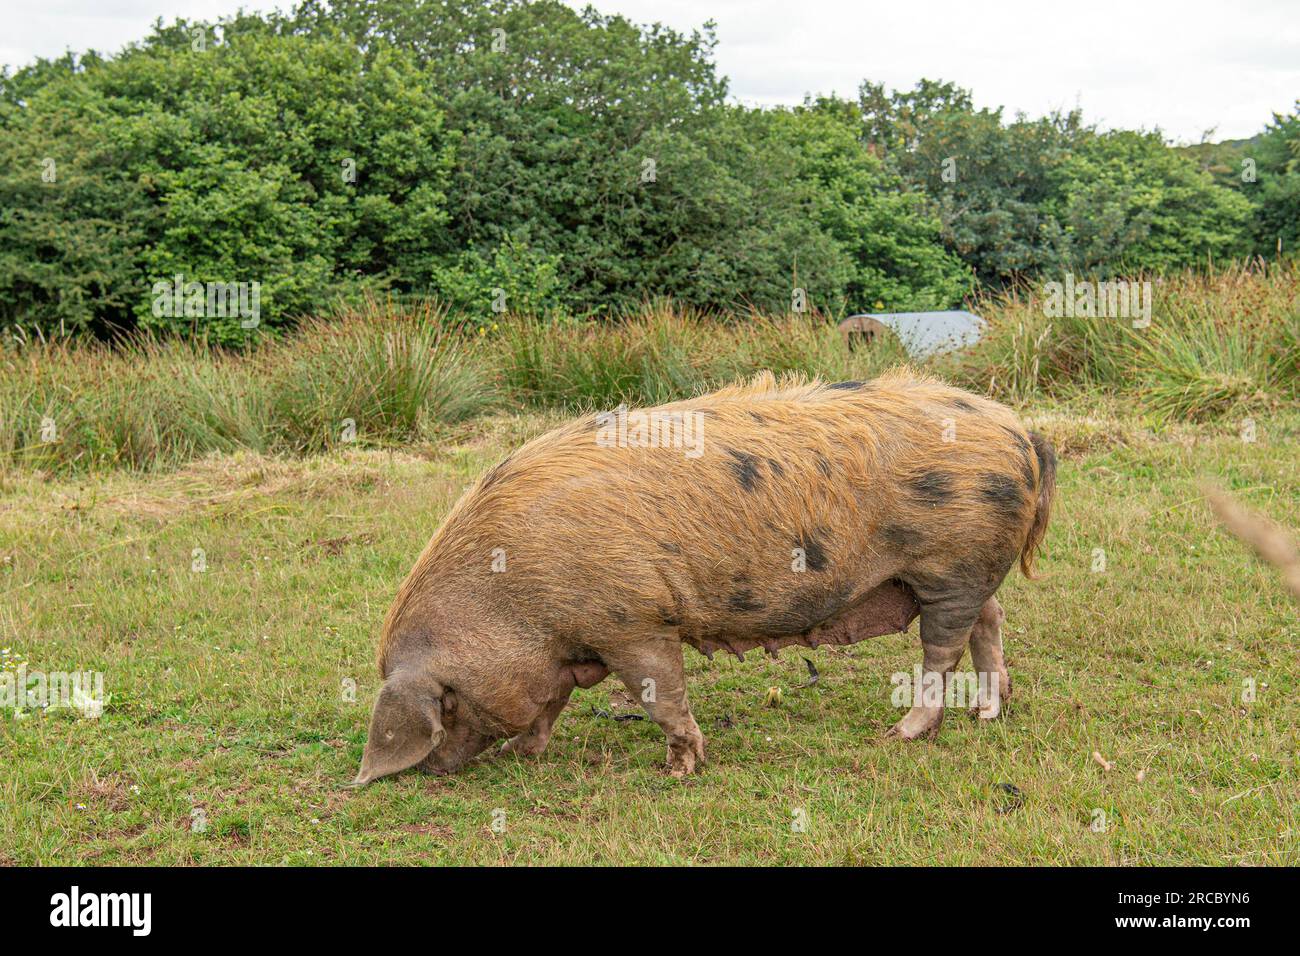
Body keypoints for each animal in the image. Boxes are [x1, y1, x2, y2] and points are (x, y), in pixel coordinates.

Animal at [353, 368, 1056, 783]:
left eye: (445, 701)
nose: (434, 771)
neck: (512, 600)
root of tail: (1020, 429)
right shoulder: (572, 644)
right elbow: (550, 702)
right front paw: (520, 754)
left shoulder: (635, 622)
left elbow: (660, 693)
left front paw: (680, 771)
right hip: (966, 573)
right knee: (989, 622)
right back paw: (988, 713)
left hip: (952, 563)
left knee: (942, 650)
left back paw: (901, 734)